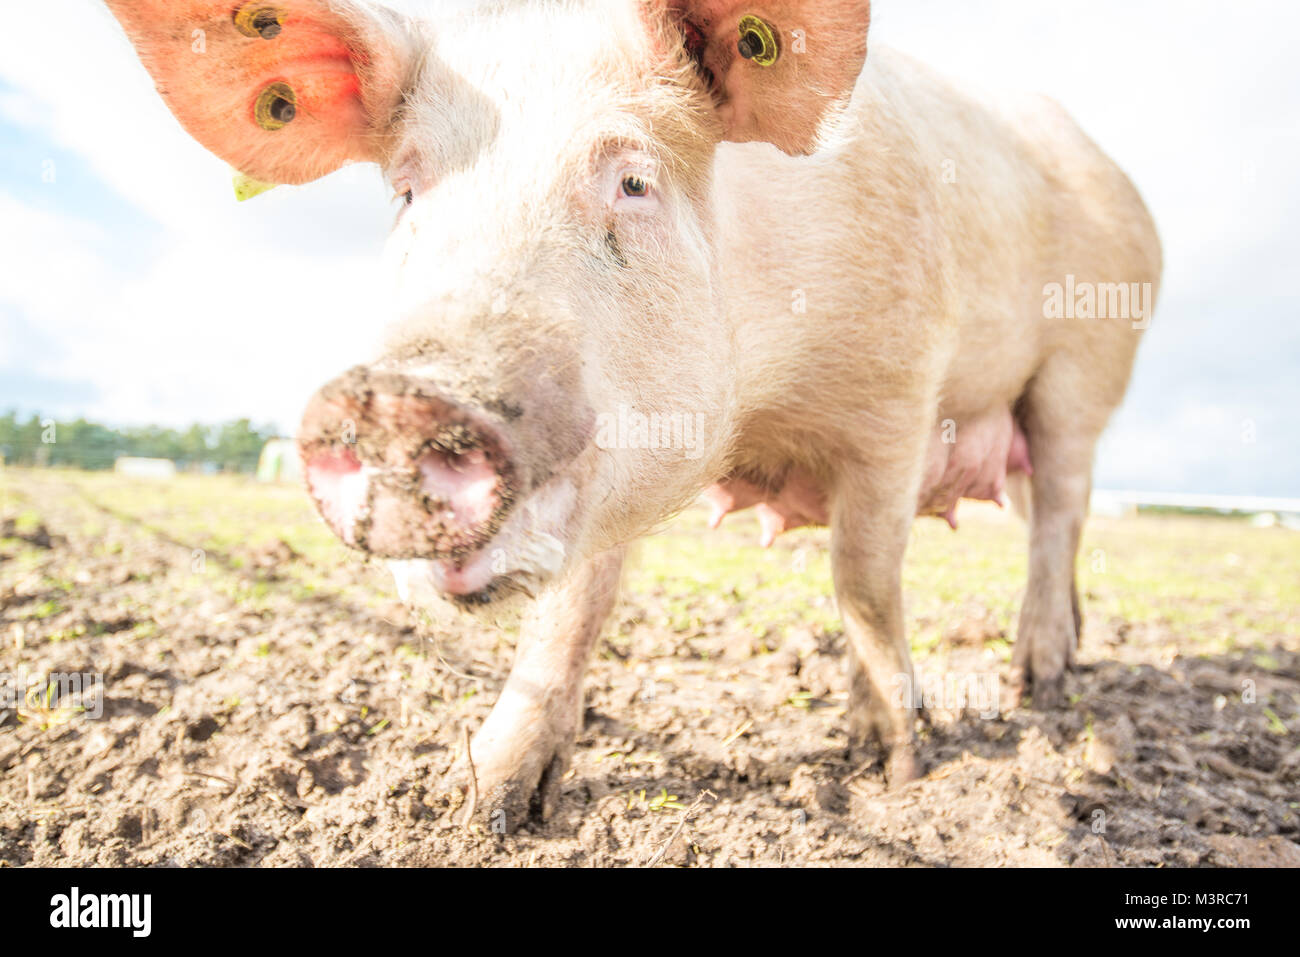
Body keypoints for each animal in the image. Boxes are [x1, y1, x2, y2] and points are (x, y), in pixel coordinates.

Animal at [103, 0, 1161, 828]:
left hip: (1082, 367)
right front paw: (487, 803)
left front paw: (896, 767)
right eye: (406, 190)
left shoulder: (900, 392)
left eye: (633, 180)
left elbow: (864, 580)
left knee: (1060, 507)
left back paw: (1040, 681)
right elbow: (573, 606)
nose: (397, 397)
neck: (765, 395)